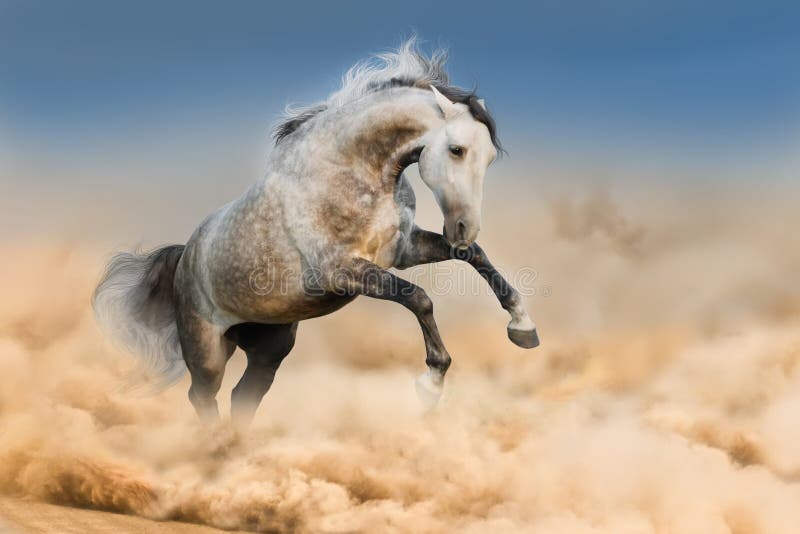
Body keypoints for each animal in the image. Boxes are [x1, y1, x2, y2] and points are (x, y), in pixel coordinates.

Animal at [92, 39, 539, 429]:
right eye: (457, 150)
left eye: (490, 156)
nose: (463, 226)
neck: (350, 172)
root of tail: (185, 256)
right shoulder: (343, 272)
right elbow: (419, 298)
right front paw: (430, 384)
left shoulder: (401, 250)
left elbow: (474, 256)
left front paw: (522, 328)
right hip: (207, 352)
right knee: (203, 397)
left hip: (270, 346)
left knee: (244, 395)